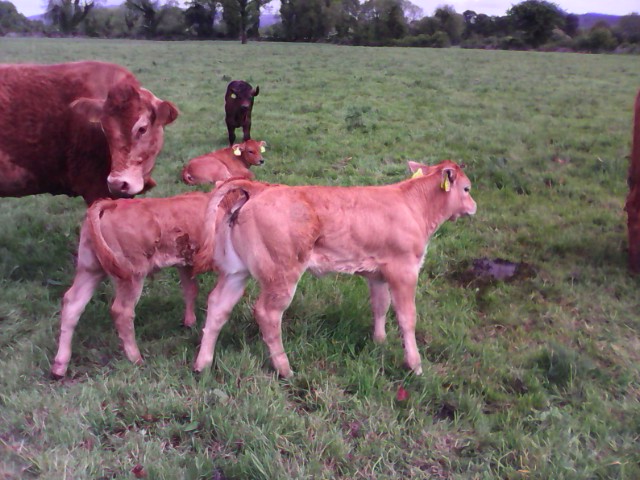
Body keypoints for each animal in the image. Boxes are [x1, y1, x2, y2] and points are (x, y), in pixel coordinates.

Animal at [51, 192, 210, 378]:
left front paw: (190, 323)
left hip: (90, 268)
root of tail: (112, 205)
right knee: (122, 311)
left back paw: (59, 366)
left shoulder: (185, 263)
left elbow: (190, 289)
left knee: (73, 303)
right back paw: (136, 358)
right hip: (133, 274)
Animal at [192, 160, 477, 378]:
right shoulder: (404, 270)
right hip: (281, 273)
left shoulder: (377, 274)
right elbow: (407, 318)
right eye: (467, 188)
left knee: (218, 306)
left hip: (236, 271)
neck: (413, 204)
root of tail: (260, 188)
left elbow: (380, 306)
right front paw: (415, 365)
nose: (474, 206)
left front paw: (380, 341)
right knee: (267, 314)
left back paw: (202, 364)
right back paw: (285, 369)